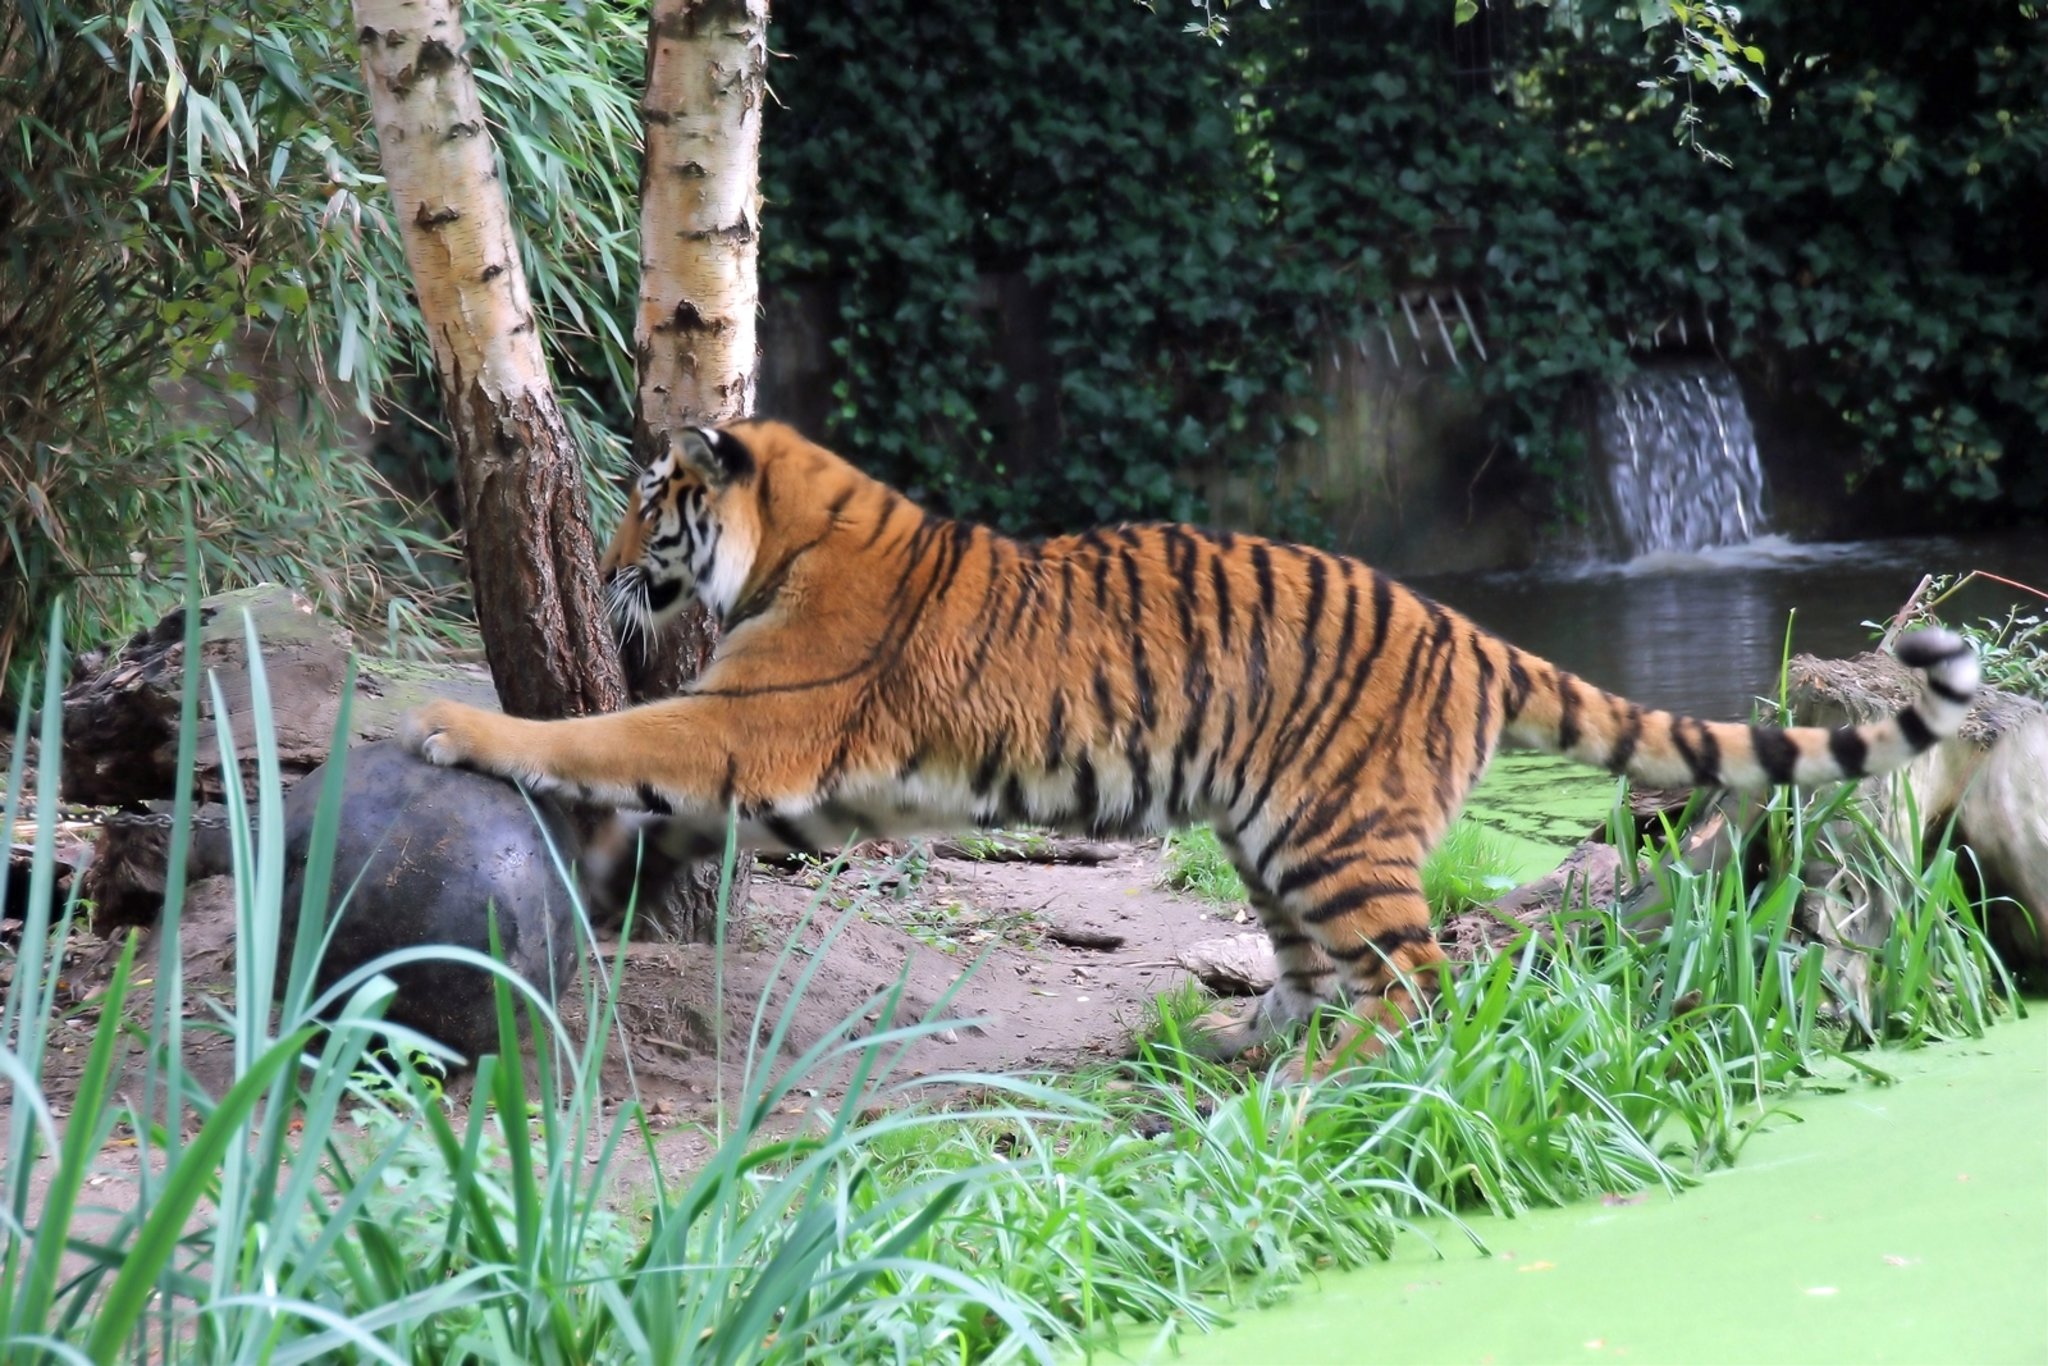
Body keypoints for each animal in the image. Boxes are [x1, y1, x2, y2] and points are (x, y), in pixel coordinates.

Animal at [401, 419, 1980, 1075]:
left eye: (646, 499)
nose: (612, 567)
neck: (783, 537)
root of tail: (1469, 633)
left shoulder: (759, 717)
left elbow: (617, 729)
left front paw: (451, 725)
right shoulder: (823, 784)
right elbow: (654, 792)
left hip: (1336, 836)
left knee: (1424, 980)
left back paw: (1314, 1090)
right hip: (1266, 830)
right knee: (1319, 968)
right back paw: (1240, 1037)